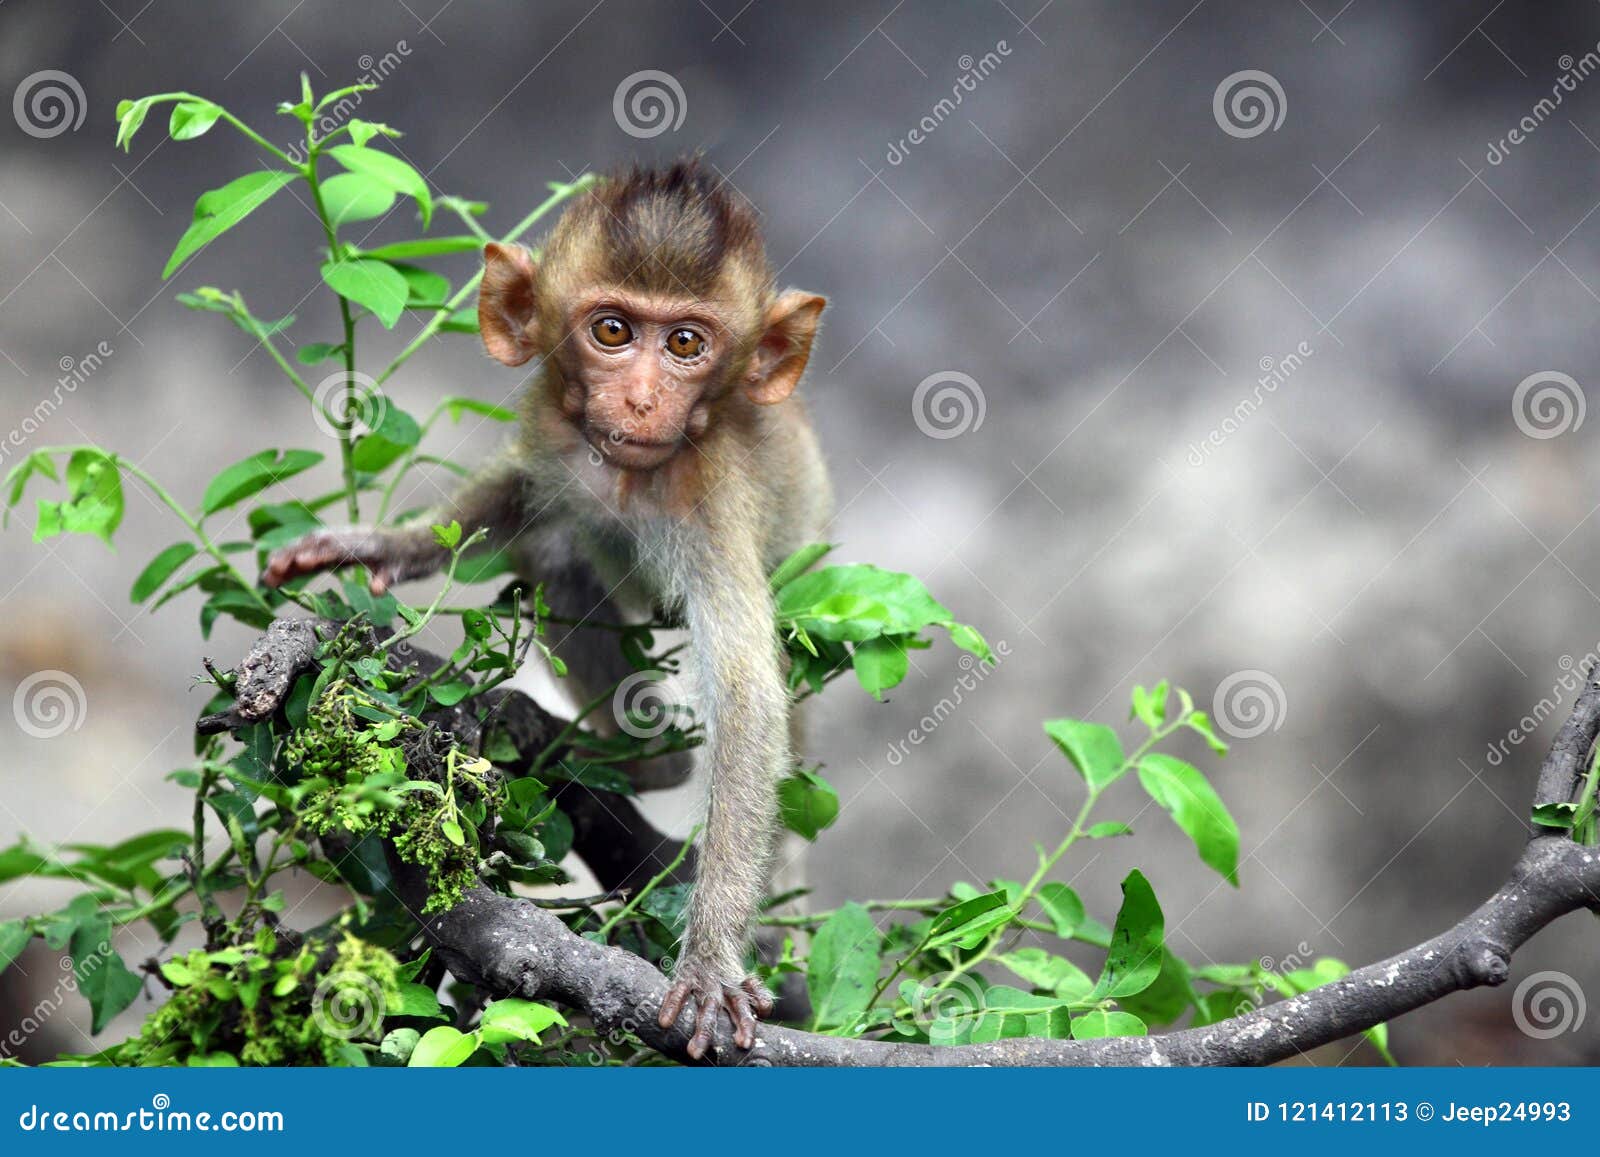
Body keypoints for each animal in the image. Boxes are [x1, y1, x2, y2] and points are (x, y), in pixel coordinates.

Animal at [263, 160, 831, 1058]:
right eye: (611, 330)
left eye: (686, 344)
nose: (641, 401)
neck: (630, 474)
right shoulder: (551, 429)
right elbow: (509, 502)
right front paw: (380, 544)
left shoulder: (714, 490)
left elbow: (747, 696)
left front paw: (709, 962)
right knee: (558, 550)